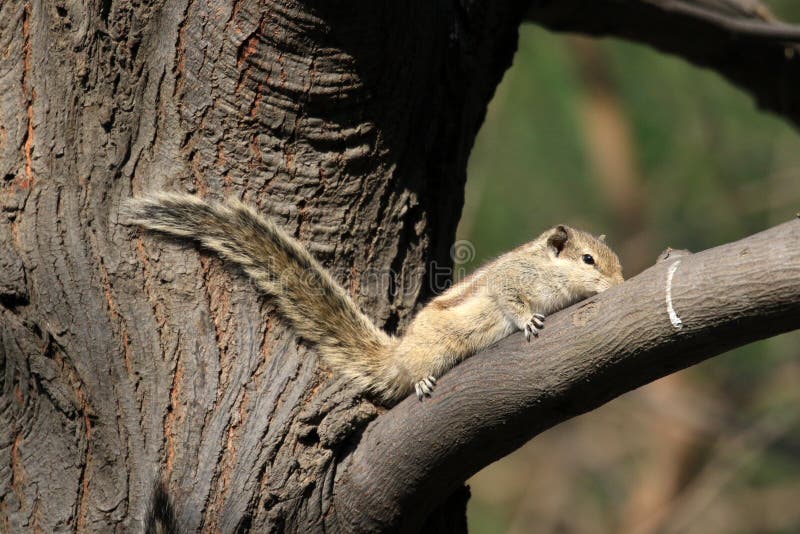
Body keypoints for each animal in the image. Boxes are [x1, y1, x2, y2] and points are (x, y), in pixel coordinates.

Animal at [123, 193, 624, 404]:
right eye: (588, 260)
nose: (621, 284)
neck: (547, 269)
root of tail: (396, 355)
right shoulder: (510, 281)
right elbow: (511, 301)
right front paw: (528, 320)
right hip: (431, 351)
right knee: (417, 369)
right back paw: (420, 380)